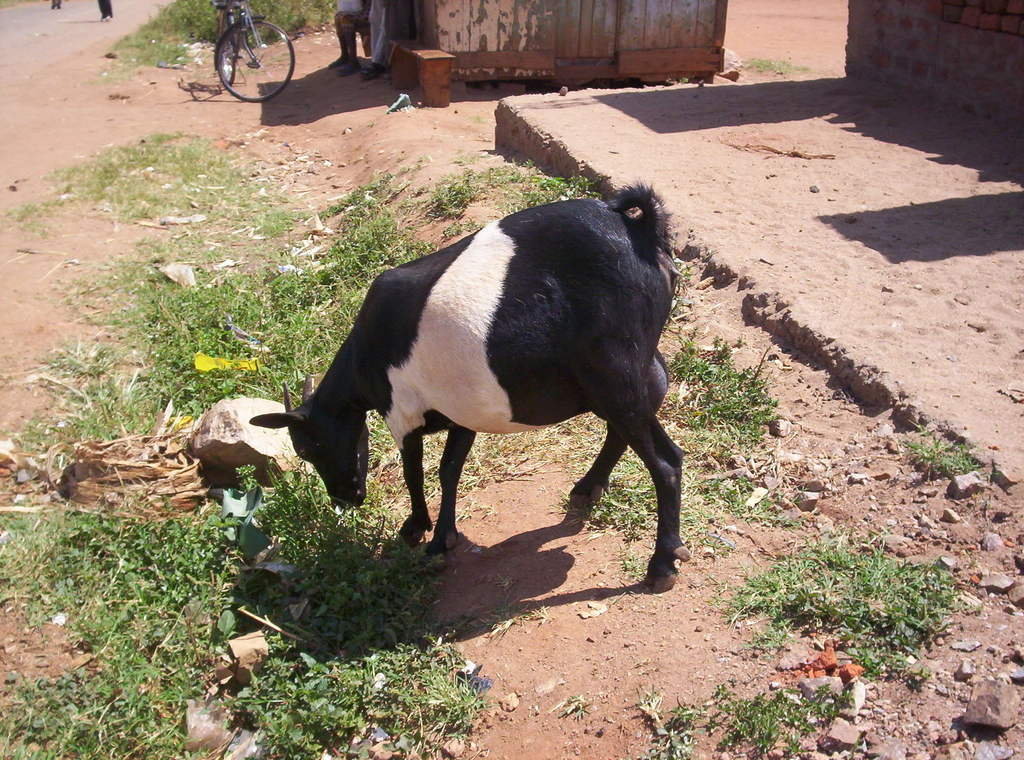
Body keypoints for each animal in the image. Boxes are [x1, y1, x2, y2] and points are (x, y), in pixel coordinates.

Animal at [250, 185, 690, 591]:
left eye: (308, 448)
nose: (346, 497)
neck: (364, 353)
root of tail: (638, 228)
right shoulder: (461, 411)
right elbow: (450, 470)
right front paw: (444, 537)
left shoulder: (402, 413)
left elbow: (414, 471)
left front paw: (416, 528)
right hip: (630, 369)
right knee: (638, 410)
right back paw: (588, 488)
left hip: (613, 371)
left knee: (665, 460)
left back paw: (662, 564)